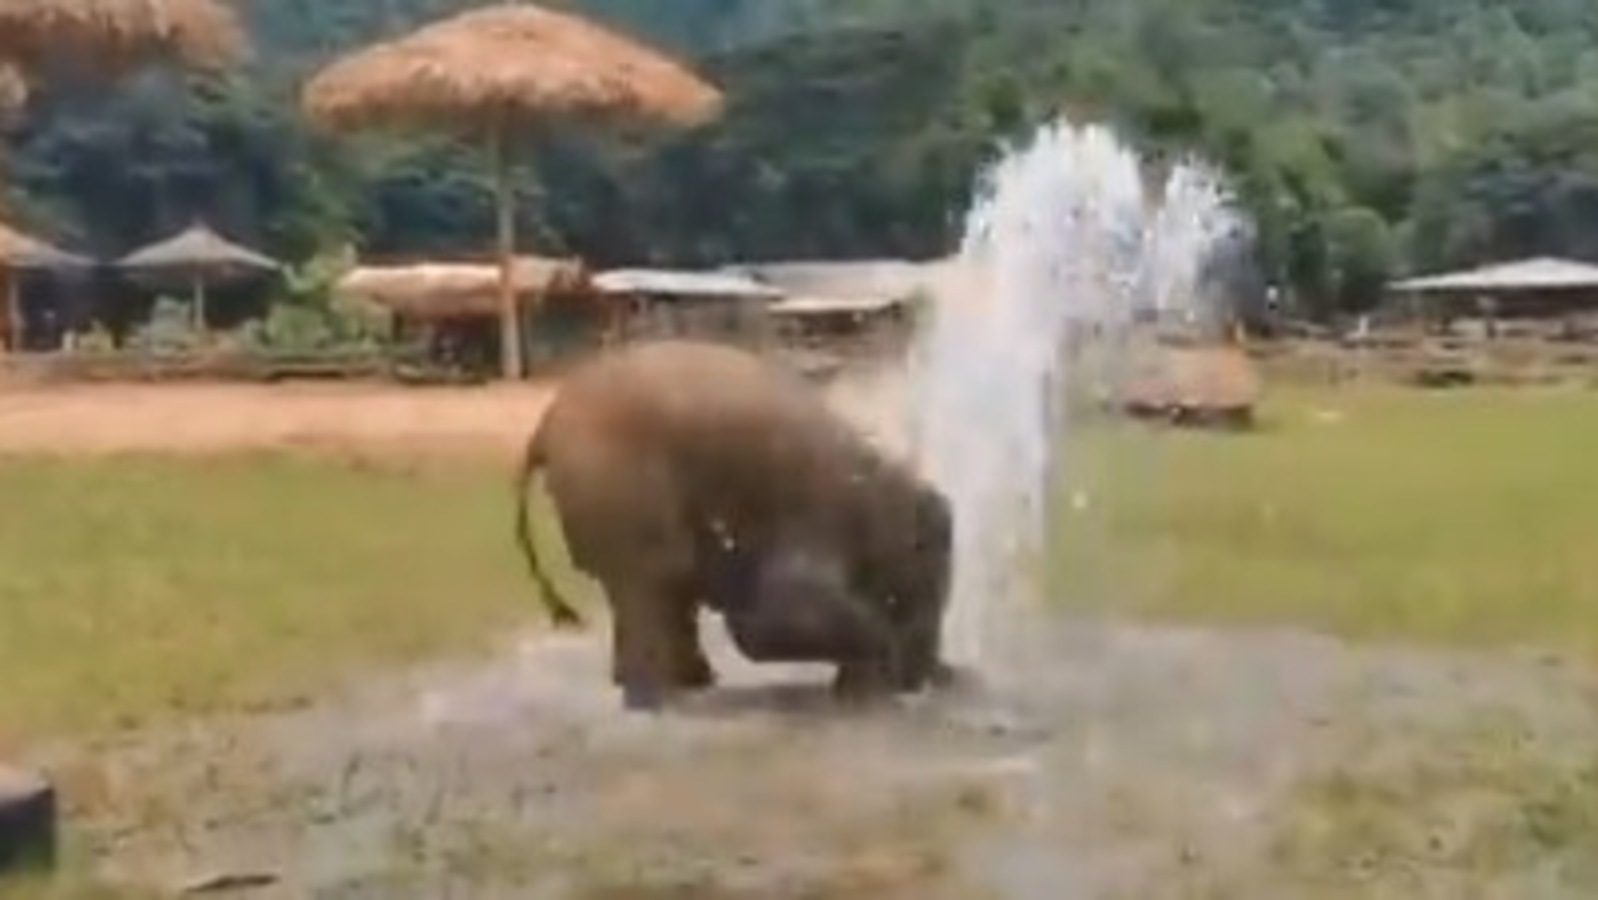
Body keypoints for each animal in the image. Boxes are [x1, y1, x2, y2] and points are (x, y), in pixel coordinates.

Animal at [513, 338, 956, 711]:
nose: (927, 680)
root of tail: (544, 428)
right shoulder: (818, 515)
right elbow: (764, 620)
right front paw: (878, 678)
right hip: (616, 484)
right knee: (654, 578)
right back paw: (658, 699)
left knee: (661, 586)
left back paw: (686, 683)